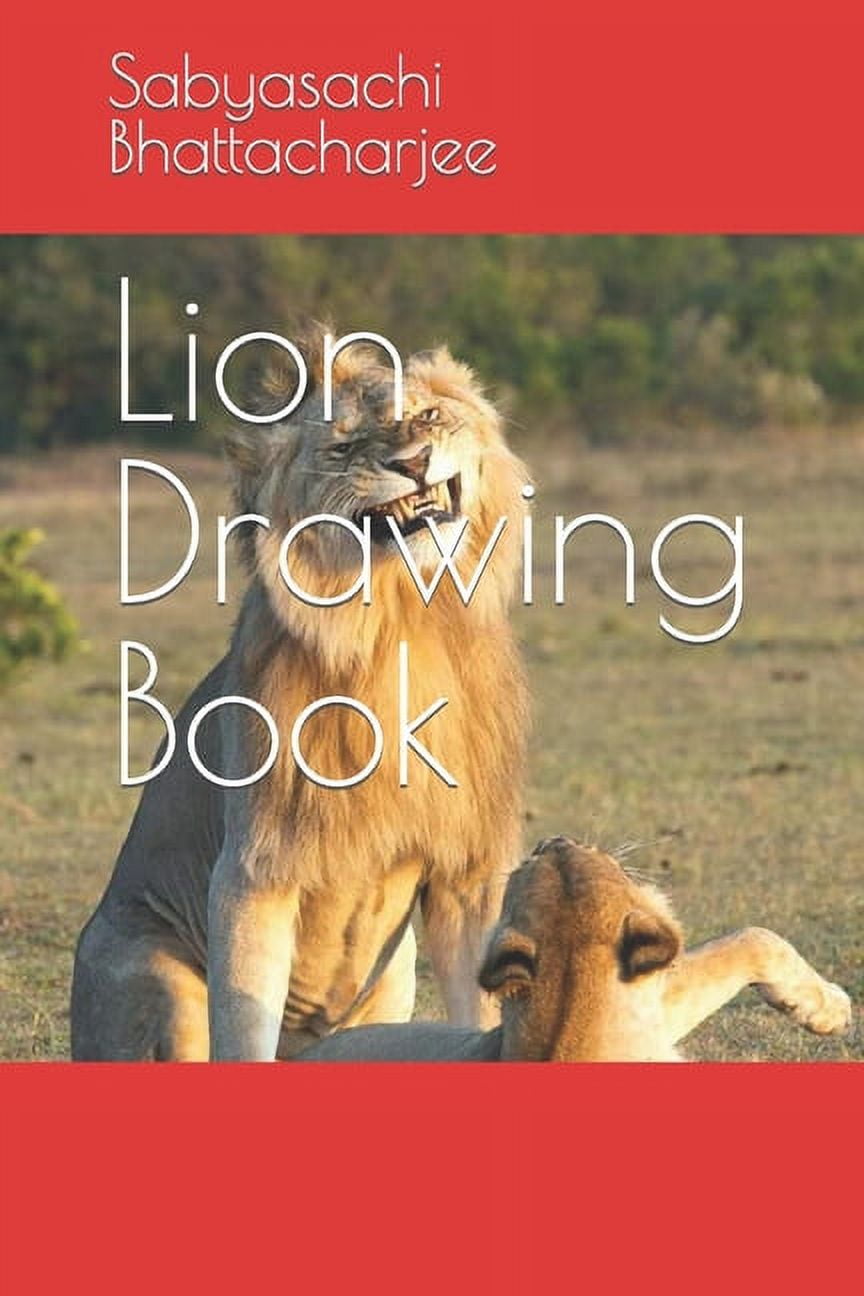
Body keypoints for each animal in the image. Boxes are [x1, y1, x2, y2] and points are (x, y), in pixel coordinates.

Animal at [71, 331, 530, 1060]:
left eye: (427, 417)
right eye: (343, 448)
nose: (413, 462)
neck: (402, 624)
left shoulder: (469, 869)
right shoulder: (252, 872)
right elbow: (243, 1026)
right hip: (156, 976)